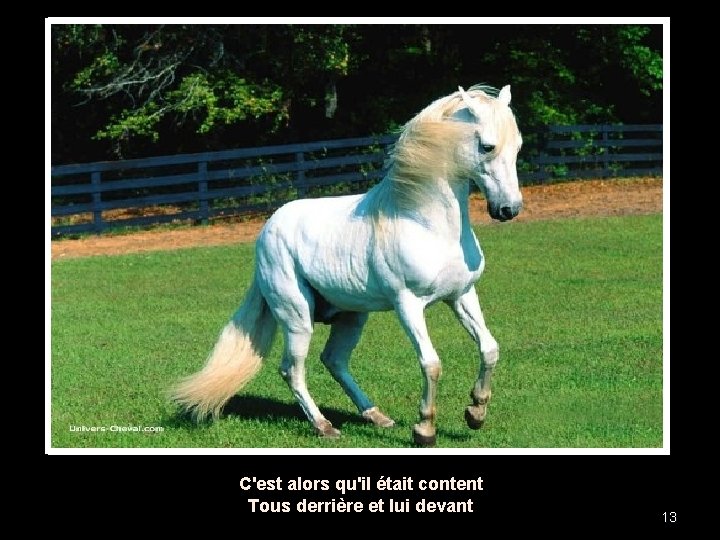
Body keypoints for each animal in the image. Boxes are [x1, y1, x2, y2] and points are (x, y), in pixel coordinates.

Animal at [171, 84, 523, 446]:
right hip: (297, 317)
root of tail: (268, 231)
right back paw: (324, 426)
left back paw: (377, 417)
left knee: (334, 360)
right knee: (292, 369)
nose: (508, 210)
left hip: (352, 316)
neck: (426, 224)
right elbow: (431, 363)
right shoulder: (408, 304)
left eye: (518, 146)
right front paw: (424, 429)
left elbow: (489, 349)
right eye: (487, 146)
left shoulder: (462, 295)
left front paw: (475, 413)